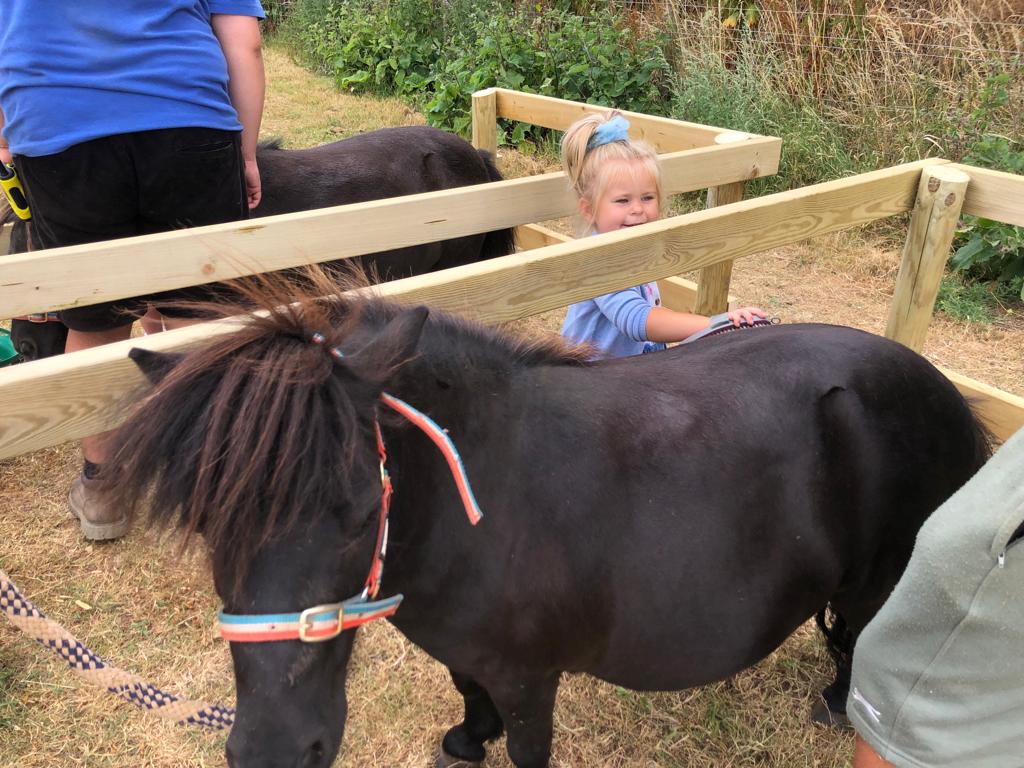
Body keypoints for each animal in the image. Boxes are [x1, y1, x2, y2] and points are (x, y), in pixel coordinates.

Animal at [102, 272, 990, 768]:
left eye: (360, 514)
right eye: (208, 523)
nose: (275, 754)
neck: (479, 512)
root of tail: (940, 388)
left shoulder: (532, 682)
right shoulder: (469, 656)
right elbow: (466, 692)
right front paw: (467, 741)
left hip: (884, 580)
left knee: (865, 638)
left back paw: (839, 703)